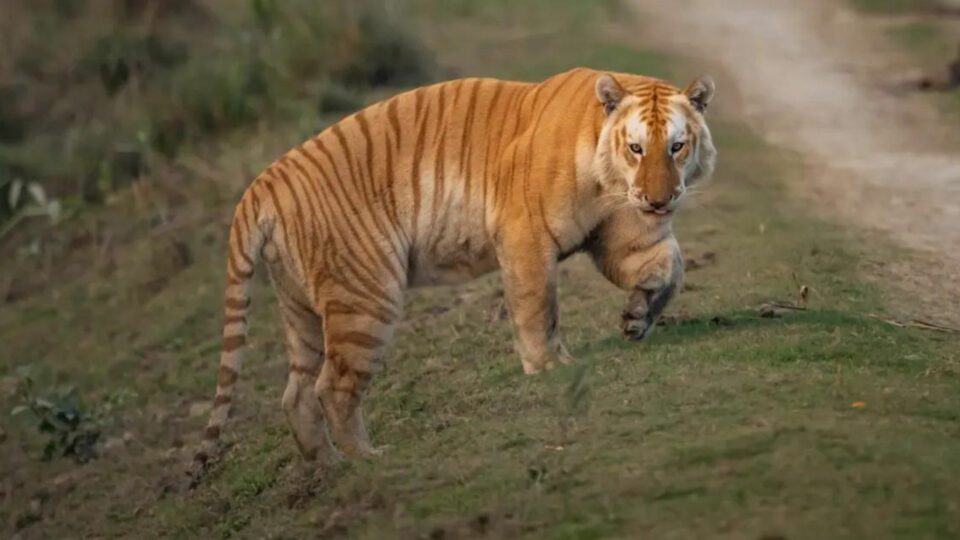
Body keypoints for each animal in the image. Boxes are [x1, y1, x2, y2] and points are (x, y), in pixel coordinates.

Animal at [193, 67, 716, 474]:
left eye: (676, 147)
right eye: (636, 148)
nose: (659, 200)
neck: (611, 183)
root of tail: (264, 182)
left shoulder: (620, 234)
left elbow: (671, 266)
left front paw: (637, 318)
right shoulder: (525, 236)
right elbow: (537, 308)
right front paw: (549, 367)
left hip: (300, 309)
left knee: (296, 394)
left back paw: (329, 467)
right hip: (365, 297)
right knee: (334, 388)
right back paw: (368, 459)